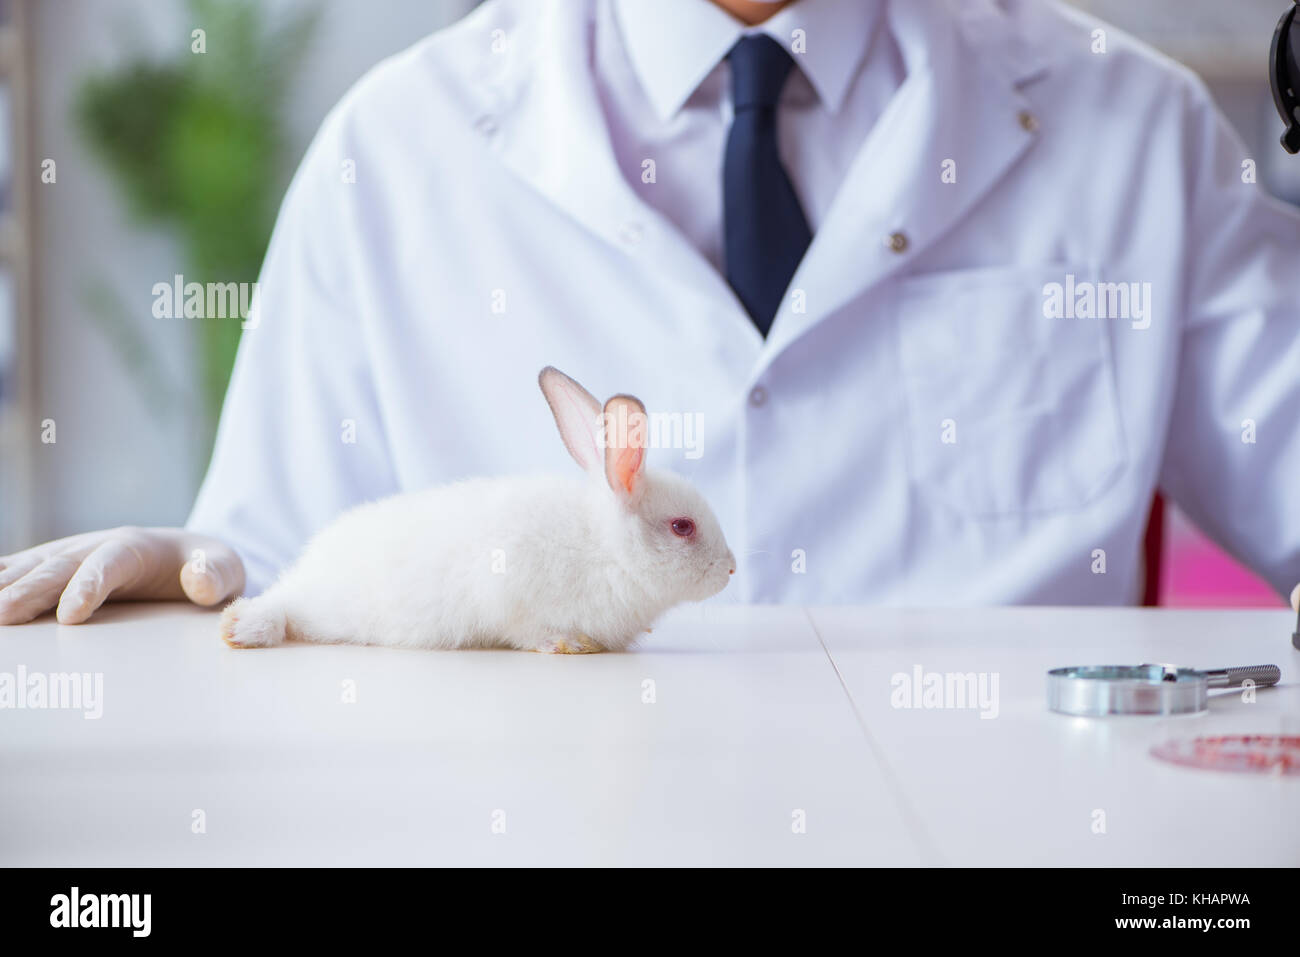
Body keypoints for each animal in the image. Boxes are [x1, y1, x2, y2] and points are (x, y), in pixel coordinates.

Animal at [218, 367, 736, 653]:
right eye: (682, 527)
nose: (731, 569)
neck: (607, 551)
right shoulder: (509, 593)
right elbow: (527, 629)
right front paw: (567, 645)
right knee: (284, 608)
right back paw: (243, 629)